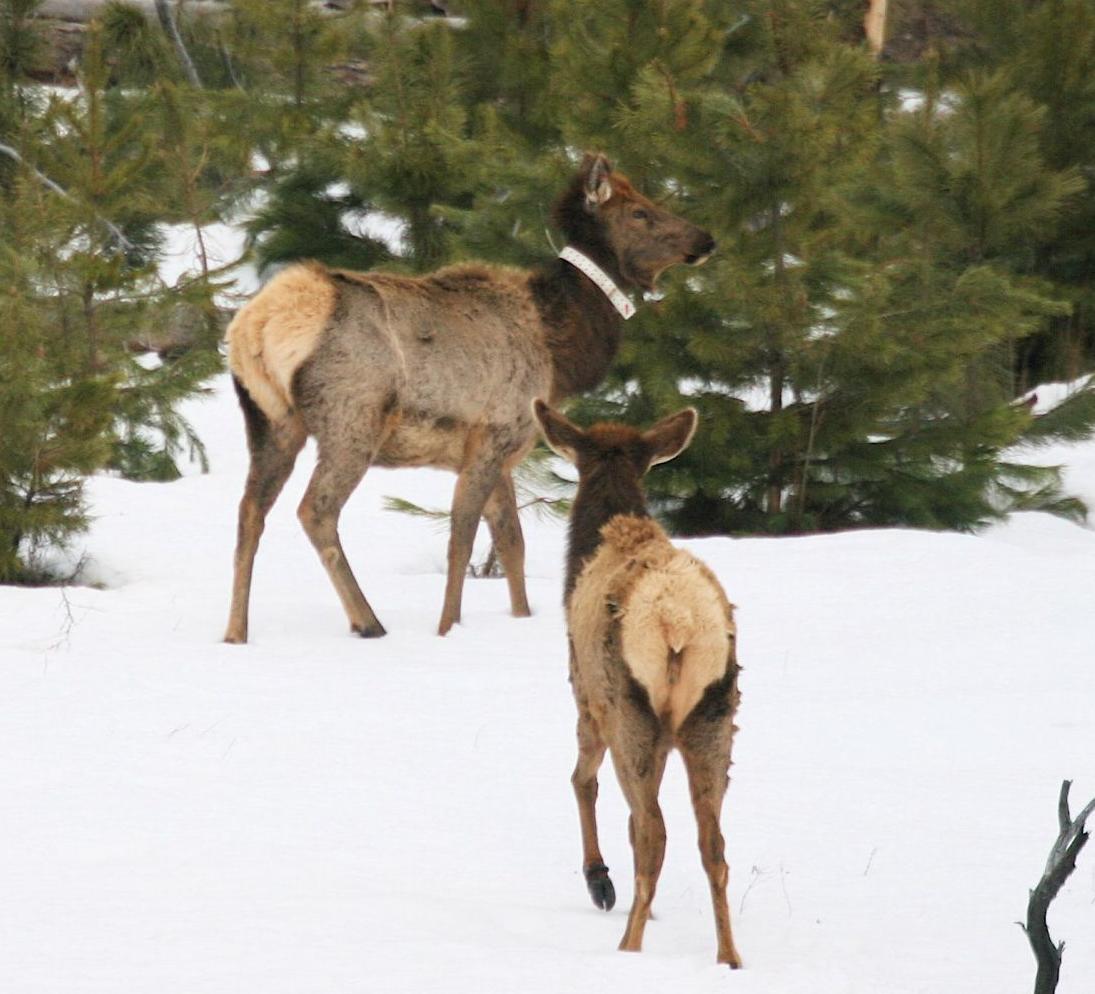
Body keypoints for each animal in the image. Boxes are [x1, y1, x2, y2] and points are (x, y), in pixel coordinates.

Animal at [222, 153, 714, 642]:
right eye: (640, 212)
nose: (705, 239)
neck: (560, 353)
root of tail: (260, 322)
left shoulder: (505, 448)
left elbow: (511, 542)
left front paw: (521, 616)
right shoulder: (494, 432)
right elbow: (462, 538)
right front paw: (448, 626)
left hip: (270, 421)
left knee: (250, 510)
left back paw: (235, 631)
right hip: (352, 418)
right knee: (315, 510)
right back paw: (368, 621)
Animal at [532, 399, 743, 969]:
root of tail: (677, 622)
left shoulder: (584, 691)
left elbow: (582, 781)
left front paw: (600, 882)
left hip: (627, 704)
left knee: (653, 830)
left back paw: (628, 946)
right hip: (713, 714)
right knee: (713, 845)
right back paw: (729, 957)